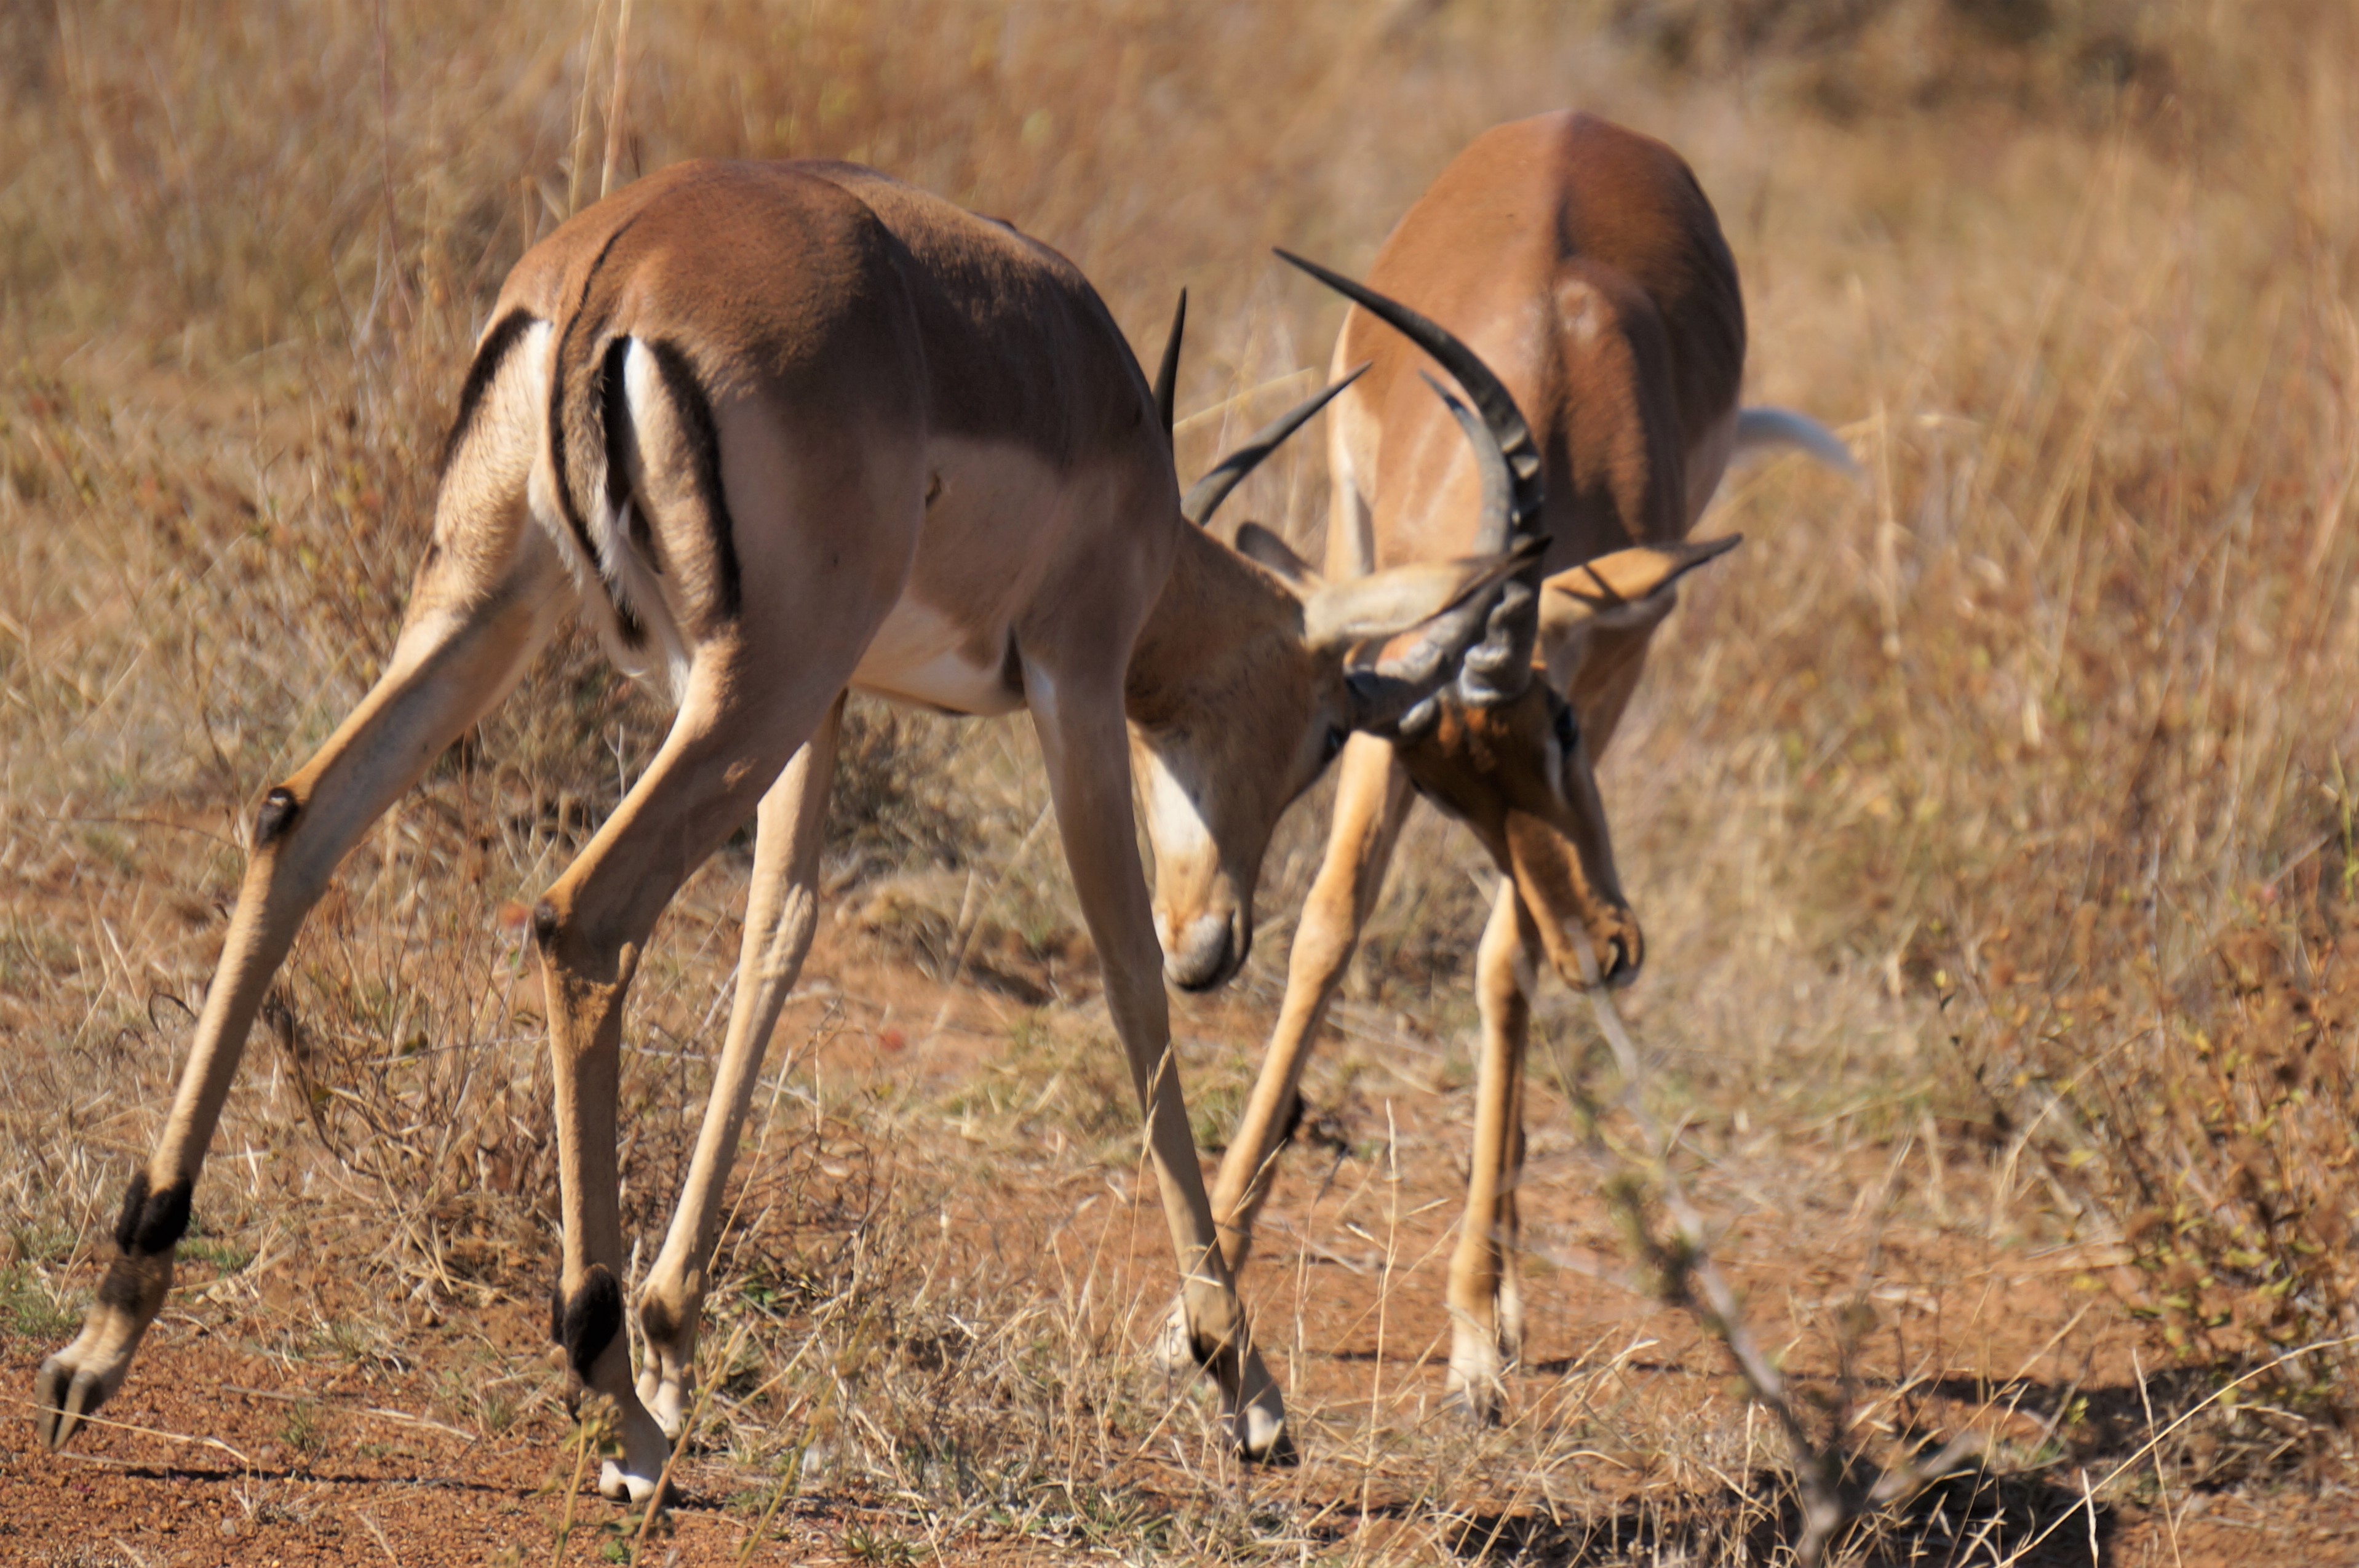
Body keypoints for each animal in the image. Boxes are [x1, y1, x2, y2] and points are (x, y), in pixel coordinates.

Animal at [31, 158, 1546, 1499]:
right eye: (1326, 733)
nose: (1220, 942)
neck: (1116, 451)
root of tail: (608, 270)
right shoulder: (1070, 680)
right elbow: (1120, 976)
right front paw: (1245, 1383)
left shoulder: (829, 701)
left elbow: (780, 935)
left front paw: (677, 1331)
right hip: (731, 678)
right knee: (582, 911)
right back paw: (618, 1410)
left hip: (509, 611)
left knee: (299, 817)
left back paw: (105, 1333)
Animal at [1189, 113, 1856, 1418]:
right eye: (1449, 793)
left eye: (1562, 726)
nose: (1611, 947)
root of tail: (1582, 123)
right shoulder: (1384, 691)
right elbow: (1328, 922)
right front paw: (1198, 1310)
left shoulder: (1618, 656)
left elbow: (1501, 969)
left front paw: (1473, 1336)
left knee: (1512, 967)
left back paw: (1497, 1293)